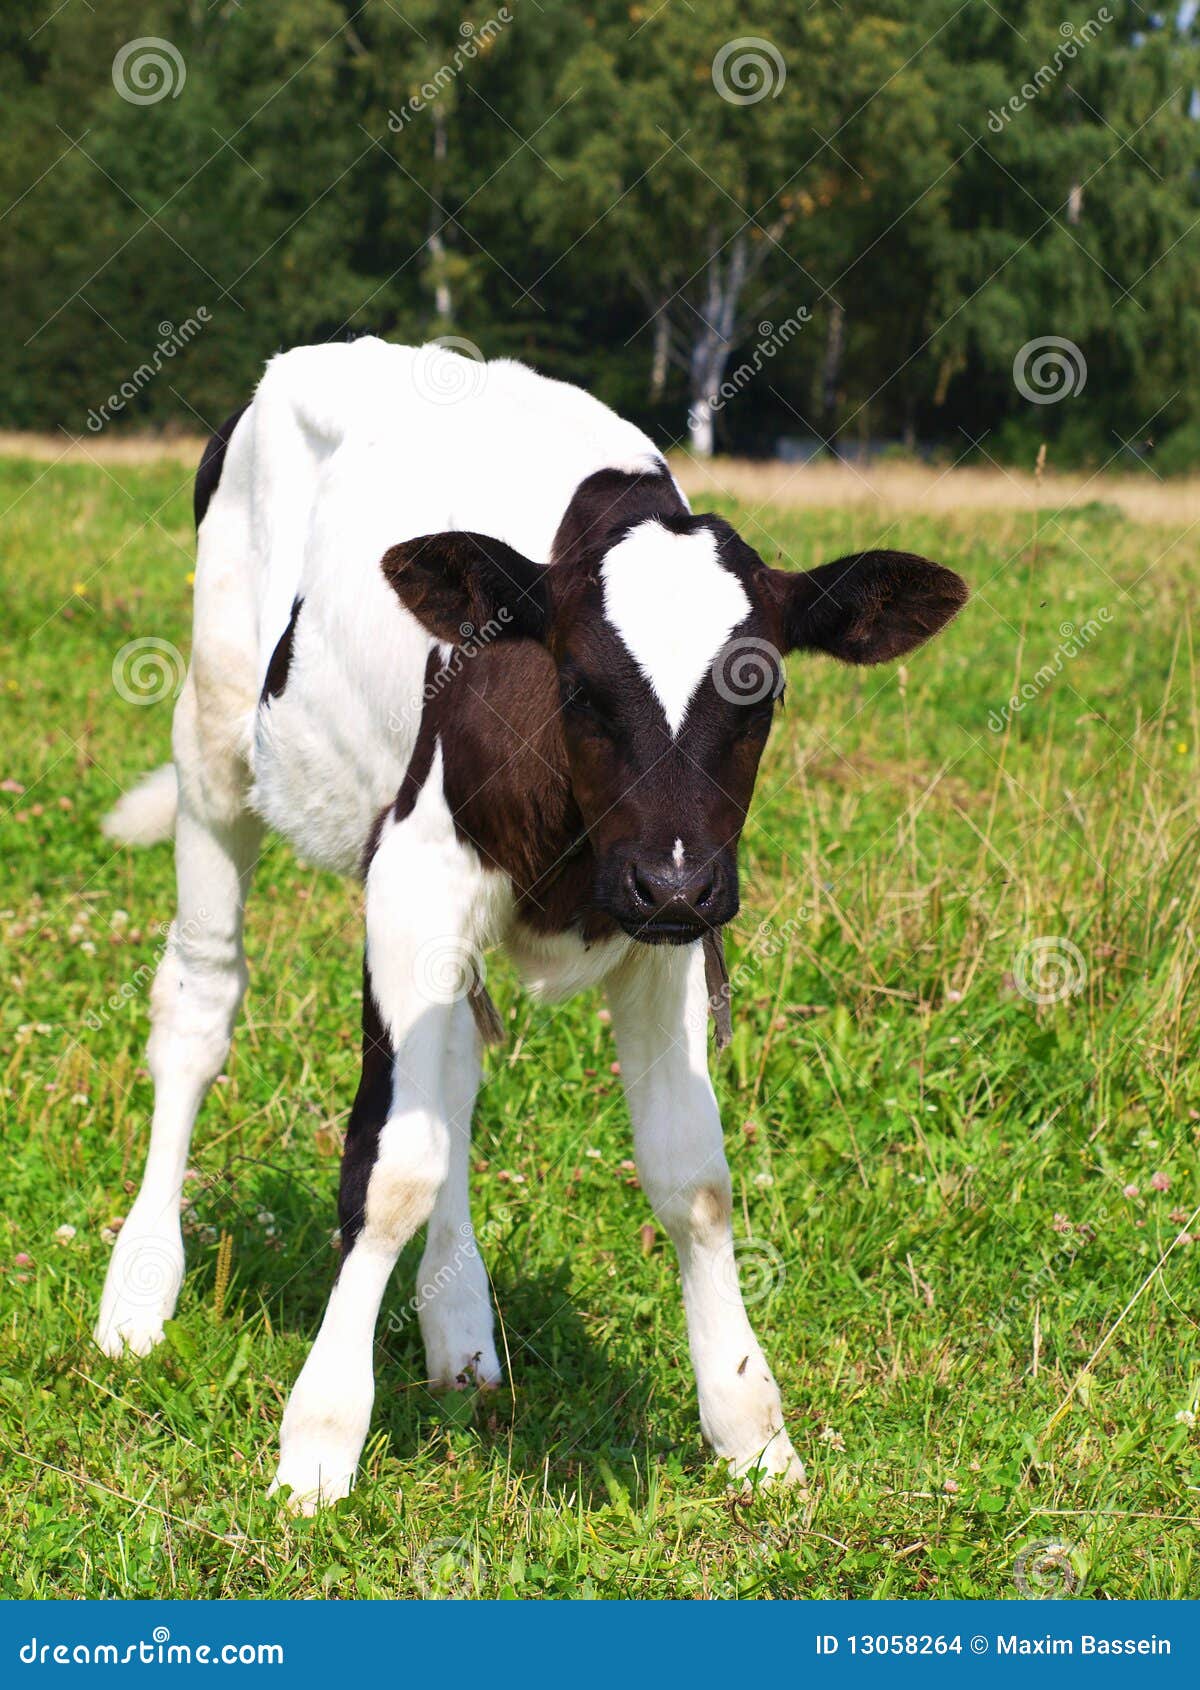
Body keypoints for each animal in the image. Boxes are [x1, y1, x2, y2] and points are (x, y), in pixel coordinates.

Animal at [93, 337, 967, 1512]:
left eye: (762, 691)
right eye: (582, 687)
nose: (671, 884)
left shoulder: (665, 938)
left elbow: (693, 1177)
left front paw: (752, 1429)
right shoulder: (416, 878)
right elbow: (392, 1170)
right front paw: (319, 1438)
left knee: (453, 1068)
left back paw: (459, 1326)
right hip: (216, 741)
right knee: (201, 1000)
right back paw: (140, 1291)